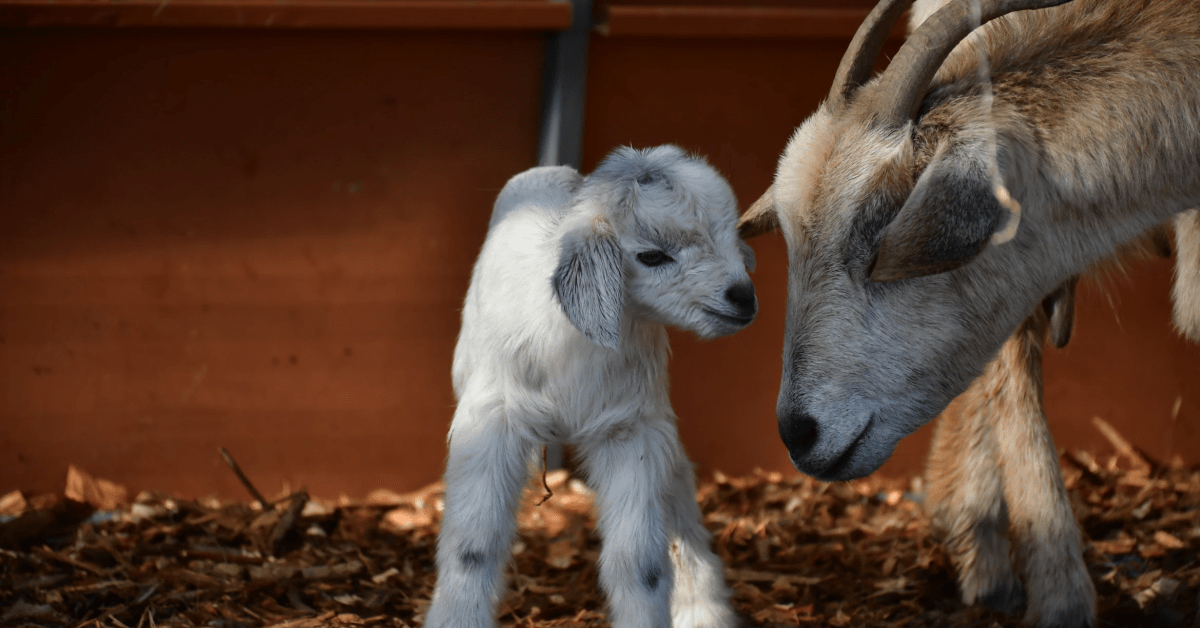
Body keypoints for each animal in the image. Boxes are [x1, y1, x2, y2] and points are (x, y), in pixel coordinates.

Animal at [425, 145, 754, 628]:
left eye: (731, 235)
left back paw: (705, 613)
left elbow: (640, 564)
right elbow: (473, 549)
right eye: (652, 256)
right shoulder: (491, 424)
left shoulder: (632, 431)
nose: (744, 298)